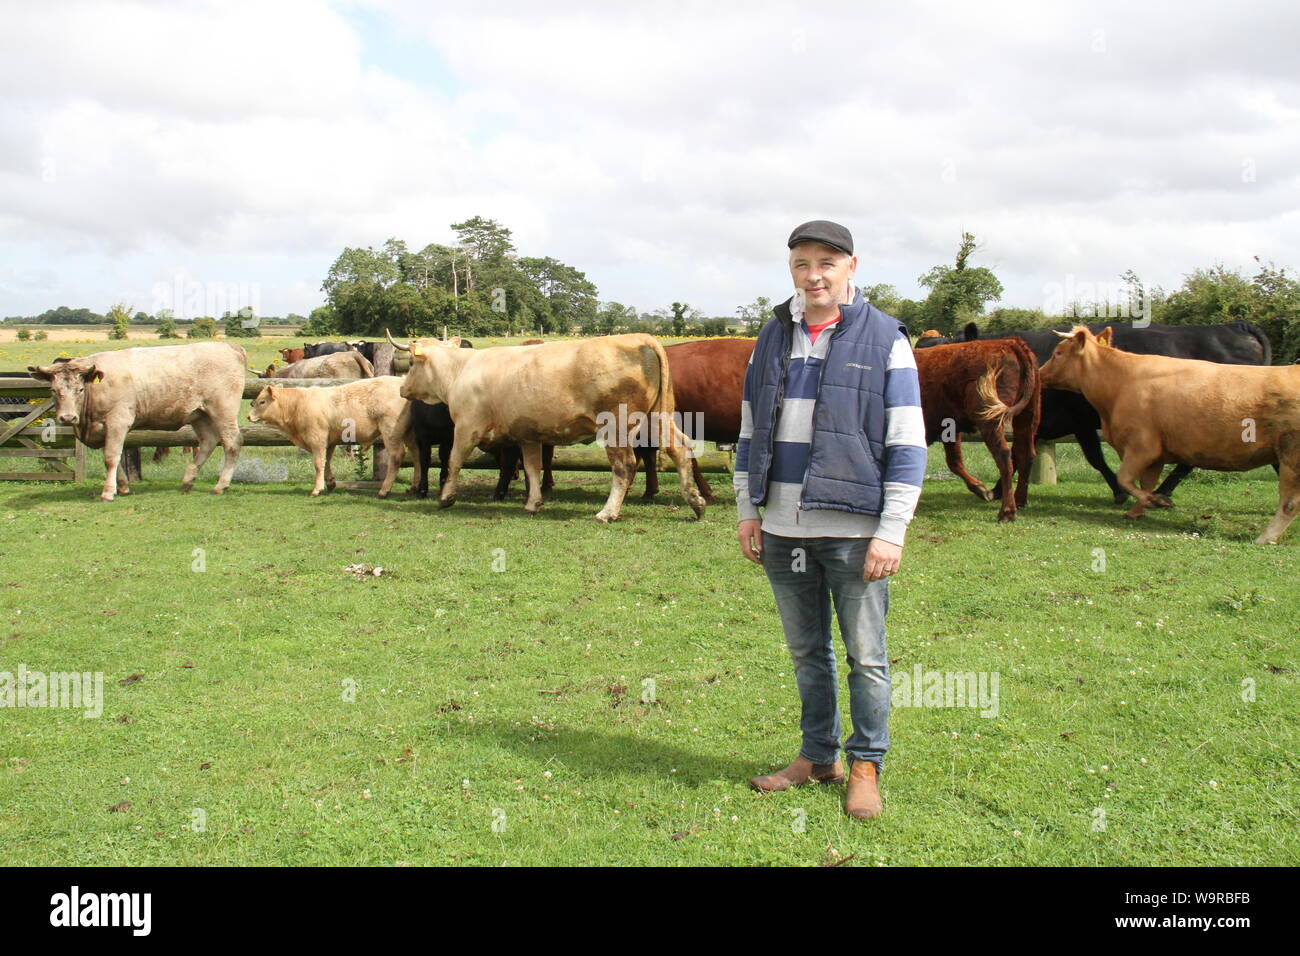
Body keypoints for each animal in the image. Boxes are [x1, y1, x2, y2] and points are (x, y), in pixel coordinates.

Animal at [27, 340, 245, 502]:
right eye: (53, 390)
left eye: (80, 390)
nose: (67, 417)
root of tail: (229, 346)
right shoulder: (104, 429)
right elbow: (115, 459)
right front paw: (123, 487)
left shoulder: (118, 421)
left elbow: (111, 457)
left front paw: (108, 492)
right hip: (199, 415)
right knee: (208, 442)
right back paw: (187, 481)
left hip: (223, 411)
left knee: (232, 443)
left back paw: (220, 485)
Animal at [915, 335, 1045, 515]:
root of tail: (1011, 342)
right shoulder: (950, 428)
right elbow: (954, 461)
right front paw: (981, 489)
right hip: (1028, 416)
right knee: (1025, 454)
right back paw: (1019, 500)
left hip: (991, 420)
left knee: (1004, 456)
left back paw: (1007, 511)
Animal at [920, 319, 1274, 502]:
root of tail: (1234, 326)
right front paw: (995, 490)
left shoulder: (1078, 421)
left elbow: (1093, 457)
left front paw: (1119, 490)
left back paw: (1161, 492)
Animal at [1040, 325, 1300, 541]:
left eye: (1058, 353)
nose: (1040, 372)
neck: (1121, 383)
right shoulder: (1155, 454)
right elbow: (1145, 481)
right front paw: (1138, 510)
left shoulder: (1142, 446)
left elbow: (1124, 477)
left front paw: (1155, 500)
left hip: (1290, 456)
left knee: (1289, 502)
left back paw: (1265, 537)